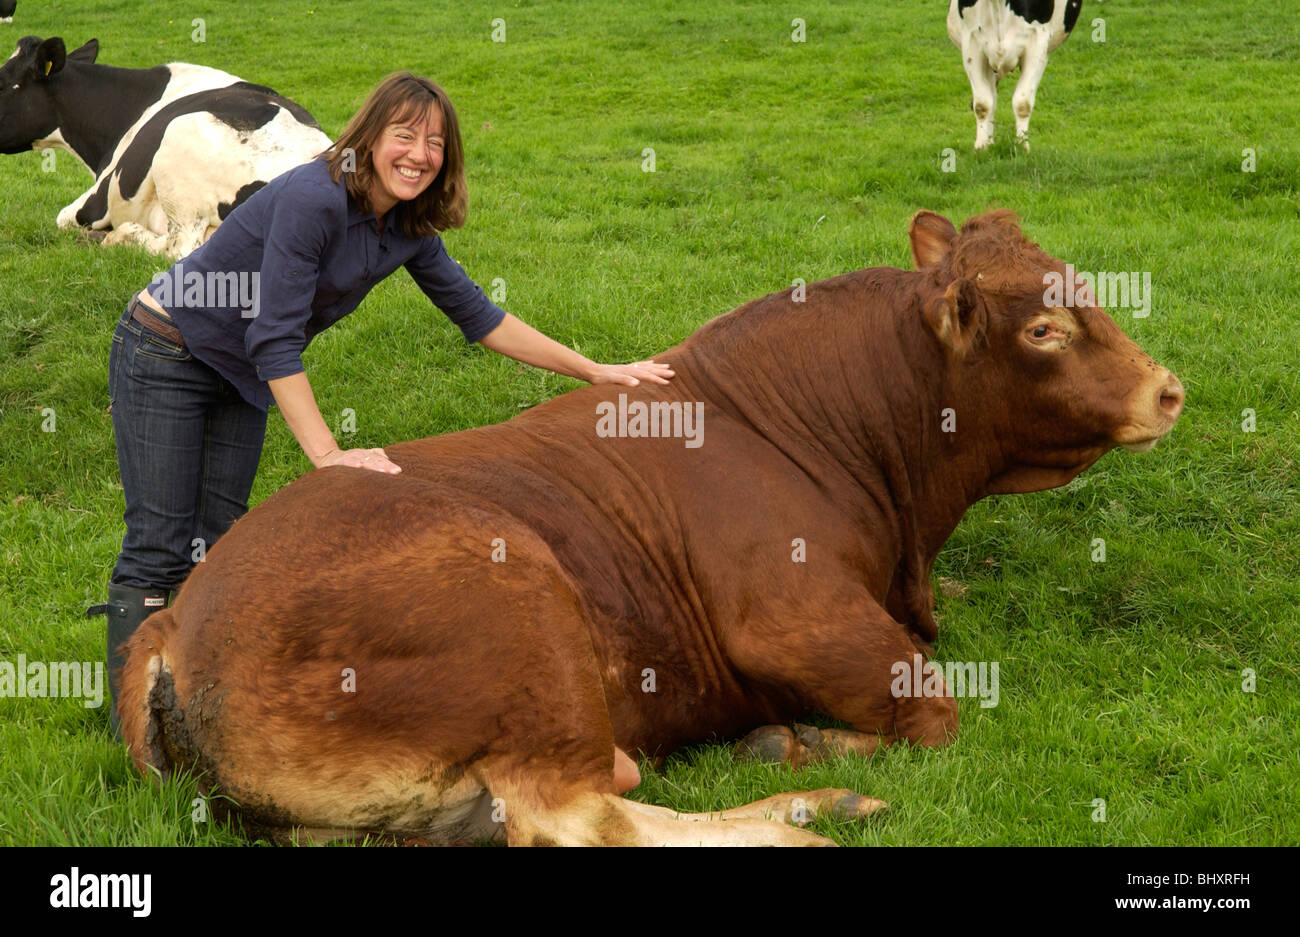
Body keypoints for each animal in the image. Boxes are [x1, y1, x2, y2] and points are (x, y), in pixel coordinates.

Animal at [0, 36, 330, 257]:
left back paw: (118, 236)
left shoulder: (94, 201)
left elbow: (63, 219)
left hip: (179, 140)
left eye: (3, 85)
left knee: (179, 248)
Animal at [118, 210, 1183, 846]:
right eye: (1043, 330)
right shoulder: (792, 617)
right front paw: (795, 743)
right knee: (583, 816)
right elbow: (932, 710)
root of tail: (175, 617)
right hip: (523, 614)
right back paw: (803, 815)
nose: (1167, 390)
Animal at [948, 0, 1083, 150]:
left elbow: (1022, 103)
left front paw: (1022, 146)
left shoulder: (1037, 41)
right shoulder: (972, 41)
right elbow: (982, 104)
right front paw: (982, 147)